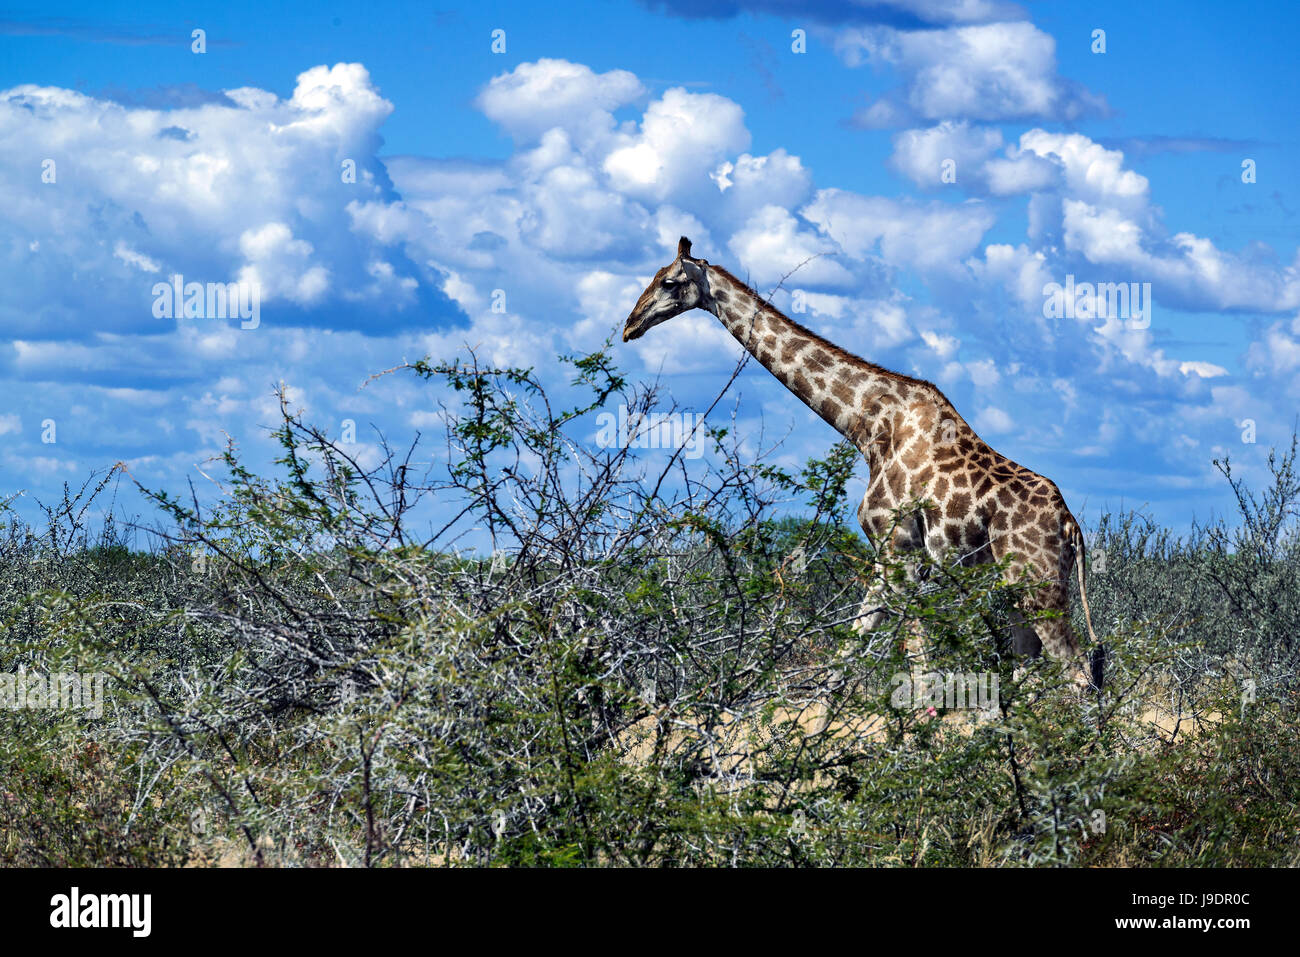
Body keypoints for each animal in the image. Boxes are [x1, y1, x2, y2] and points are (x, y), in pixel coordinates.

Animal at [622, 237, 1102, 690]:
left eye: (670, 282)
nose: (629, 325)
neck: (866, 426)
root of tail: (1071, 526)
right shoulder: (890, 559)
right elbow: (846, 655)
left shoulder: (900, 551)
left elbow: (920, 669)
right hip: (1018, 588)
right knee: (1032, 669)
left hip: (1038, 585)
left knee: (1078, 671)